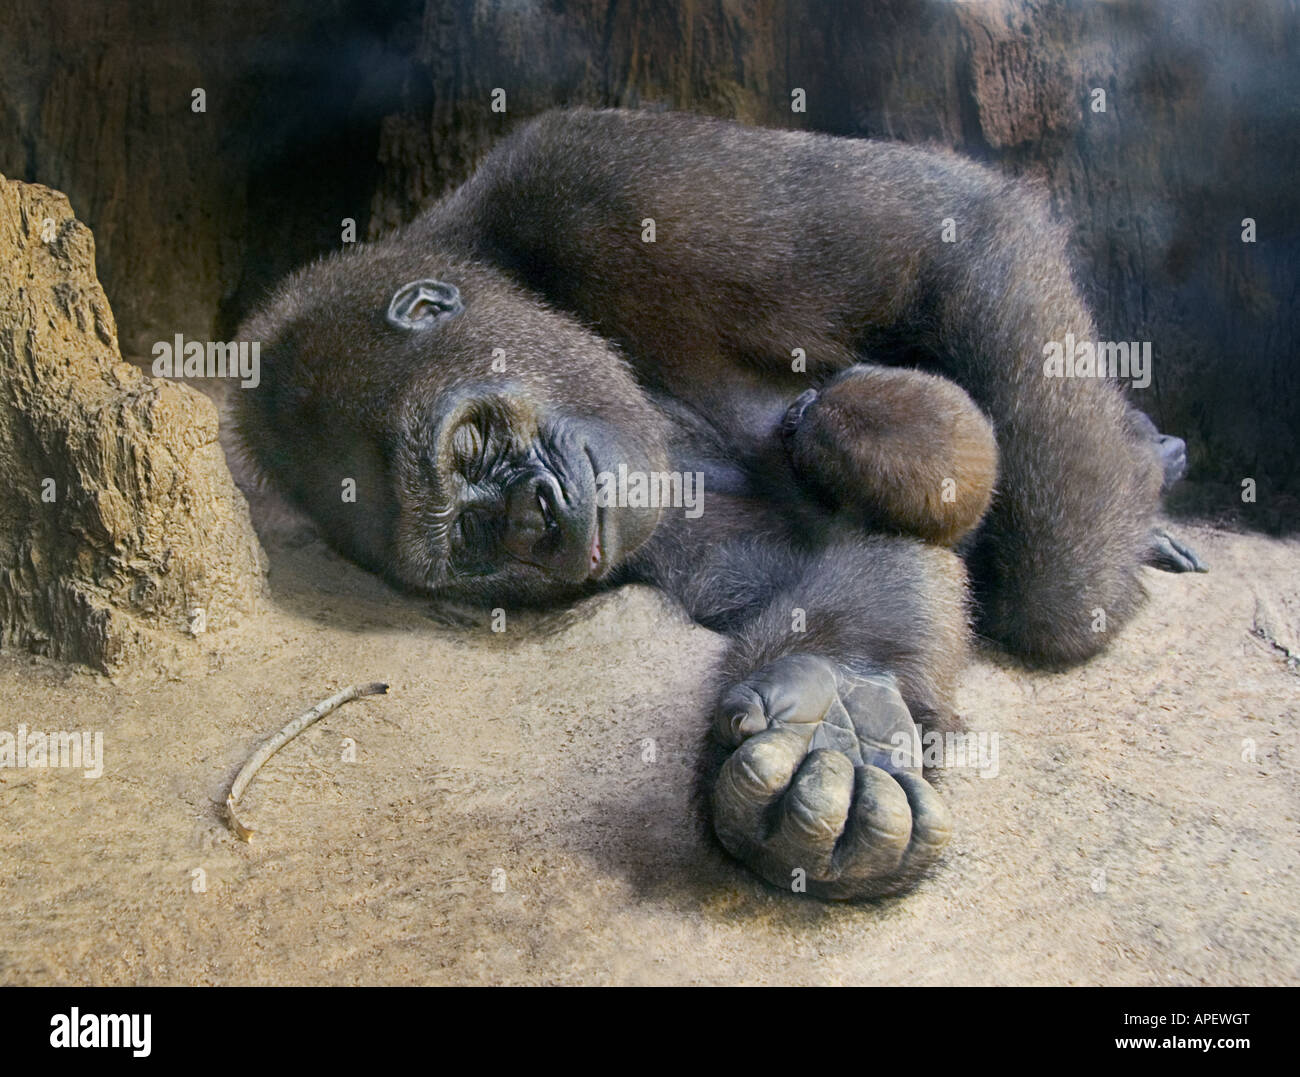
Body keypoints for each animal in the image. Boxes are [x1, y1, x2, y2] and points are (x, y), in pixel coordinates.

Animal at [236, 108, 1199, 900]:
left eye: (470, 443)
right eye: (470, 539)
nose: (536, 521)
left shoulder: (590, 178)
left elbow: (954, 231)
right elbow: (841, 554)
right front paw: (832, 708)